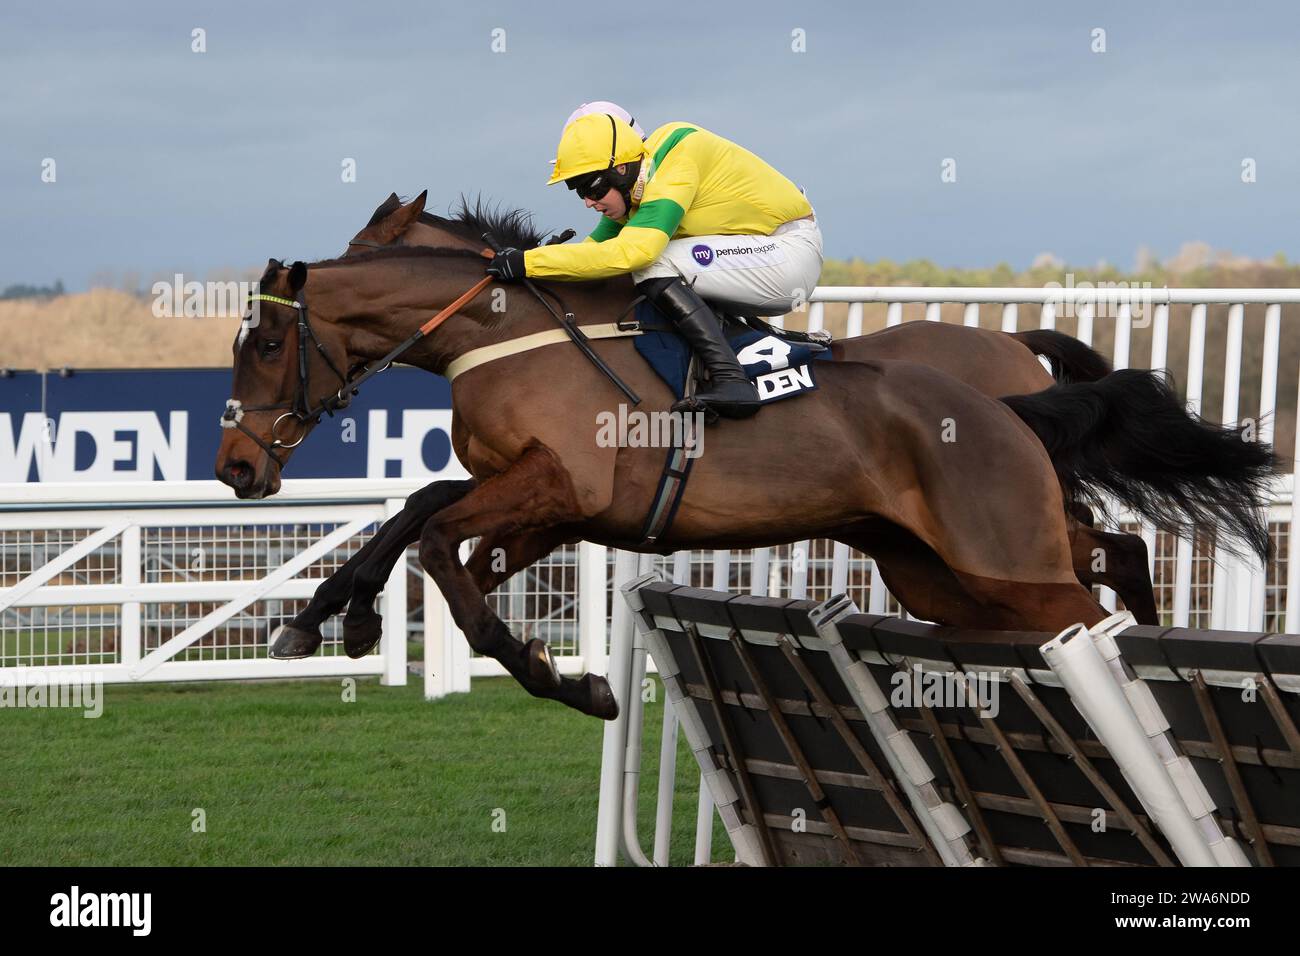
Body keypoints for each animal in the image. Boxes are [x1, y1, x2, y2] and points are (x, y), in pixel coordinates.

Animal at [214, 238, 1275, 720]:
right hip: (940, 576)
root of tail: (1009, 401)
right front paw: (327, 617)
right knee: (1101, 573)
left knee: (1103, 593)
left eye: (263, 344)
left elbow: (439, 539)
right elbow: (423, 511)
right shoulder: (543, 500)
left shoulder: (563, 487)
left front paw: (566, 680)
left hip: (1011, 556)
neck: (505, 335)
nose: (235, 467)